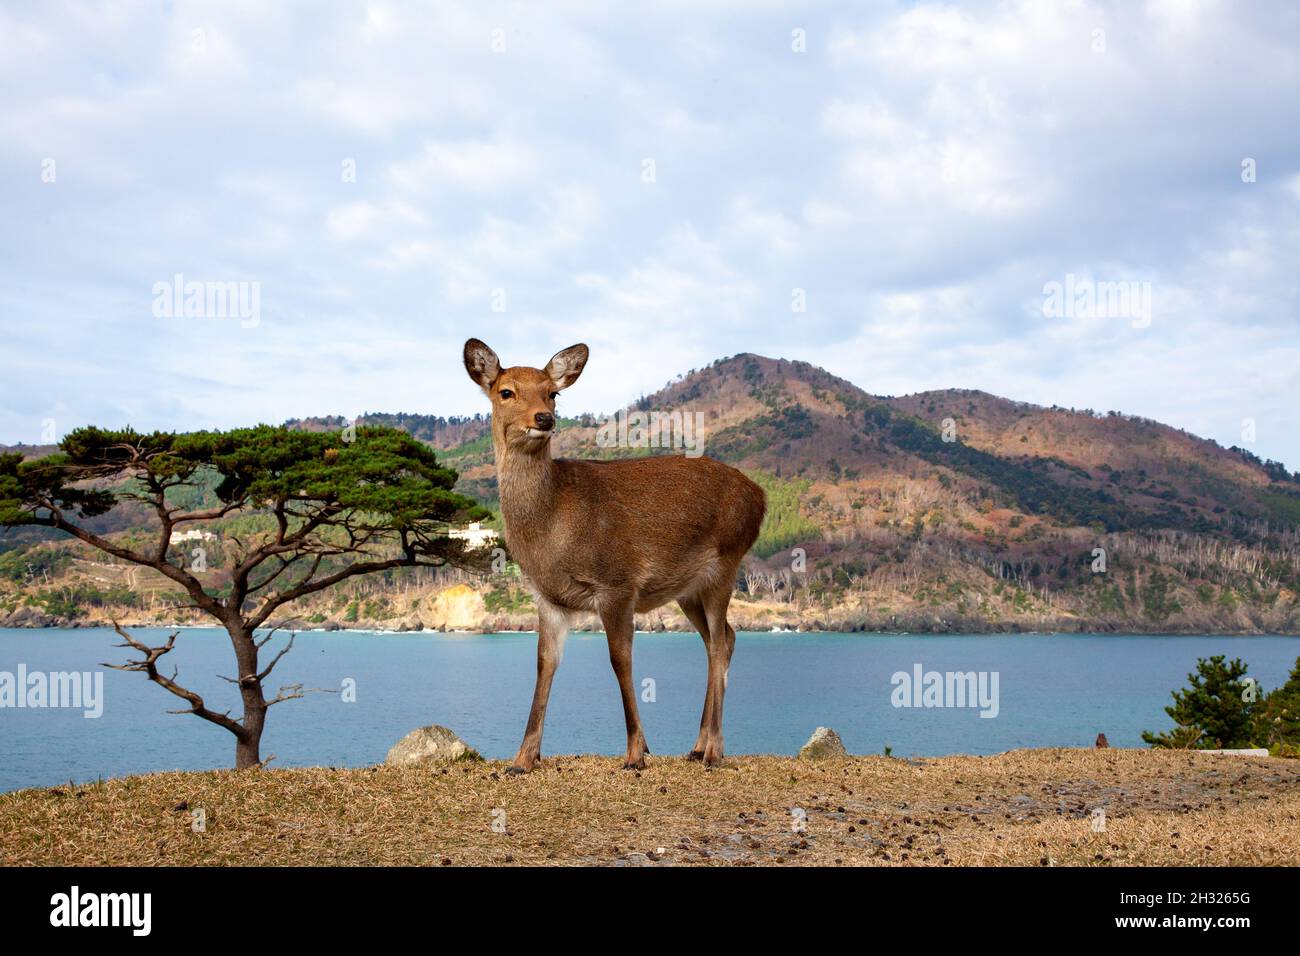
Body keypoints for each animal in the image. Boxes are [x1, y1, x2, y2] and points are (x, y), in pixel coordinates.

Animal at [463, 339, 766, 772]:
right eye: (506, 391)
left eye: (552, 393)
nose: (544, 418)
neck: (551, 532)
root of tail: (761, 498)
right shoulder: (548, 598)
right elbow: (544, 664)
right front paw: (523, 758)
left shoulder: (618, 583)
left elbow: (620, 660)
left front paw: (637, 752)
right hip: (689, 590)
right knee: (724, 637)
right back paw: (696, 746)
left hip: (725, 563)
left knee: (720, 642)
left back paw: (713, 751)